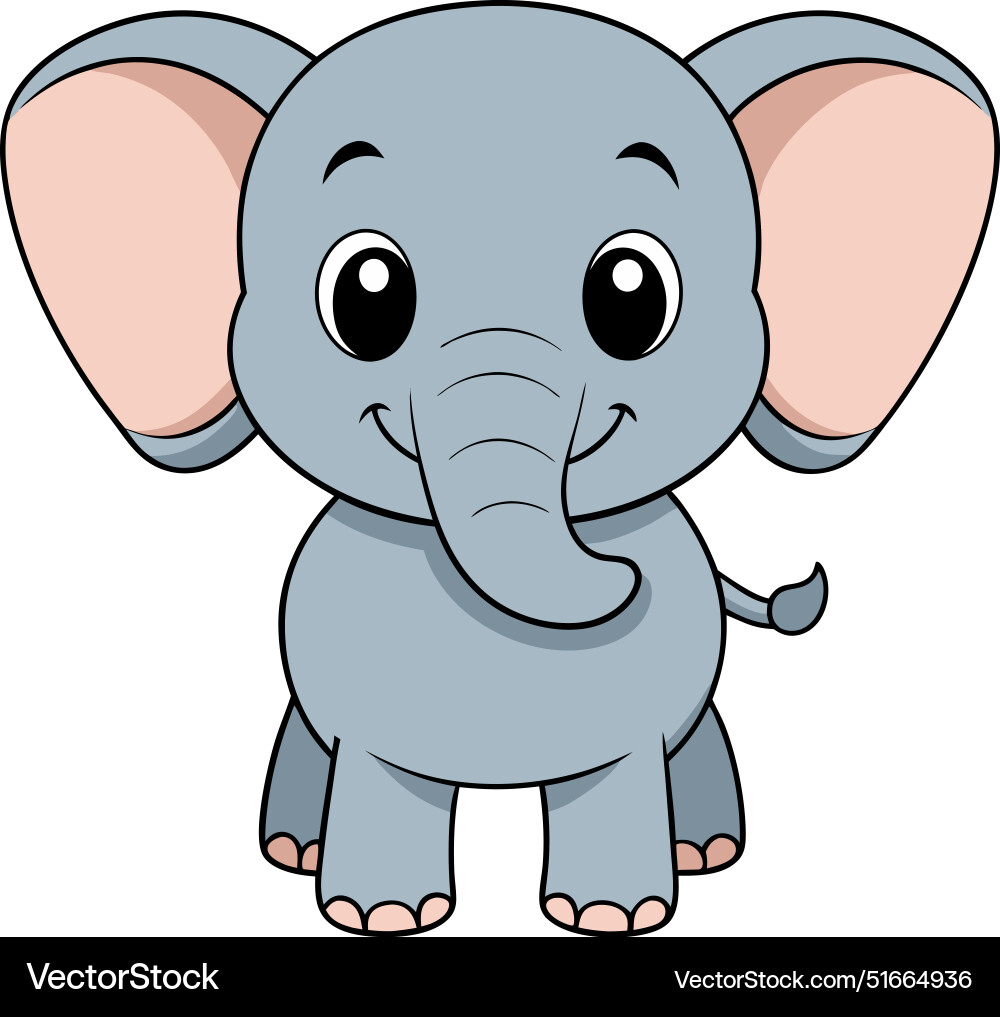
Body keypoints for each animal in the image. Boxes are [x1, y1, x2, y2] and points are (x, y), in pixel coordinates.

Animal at [3, 5, 995, 937]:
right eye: (365, 295)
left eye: (634, 296)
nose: (622, 572)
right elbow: (378, 770)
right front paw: (379, 916)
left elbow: (622, 768)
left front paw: (613, 916)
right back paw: (294, 848)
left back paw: (706, 850)